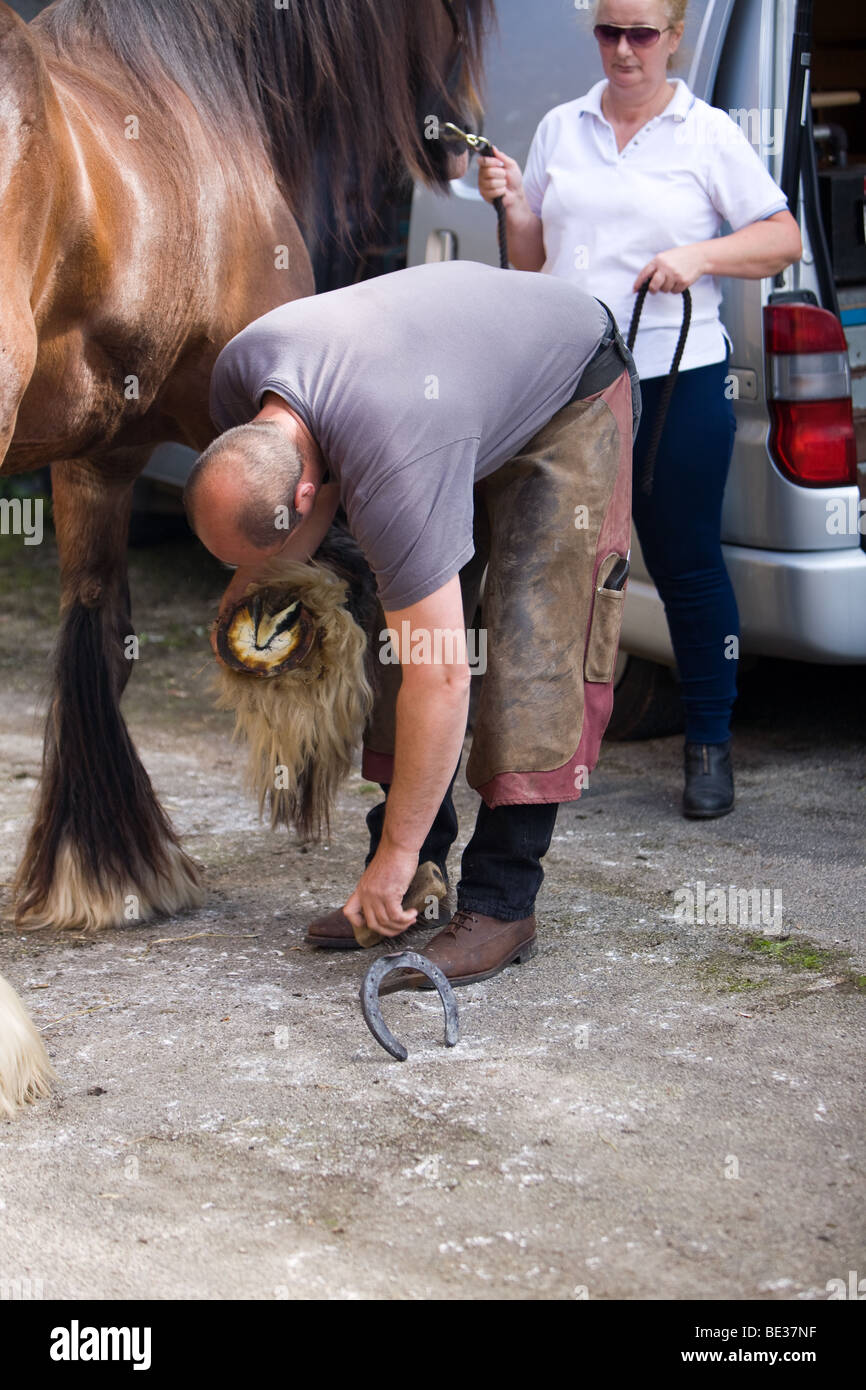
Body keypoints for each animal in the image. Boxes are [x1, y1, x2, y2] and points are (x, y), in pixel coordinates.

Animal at [0, 0, 492, 1111]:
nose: (475, 141)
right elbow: (353, 601)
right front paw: (407, 853)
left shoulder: (102, 454)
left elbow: (98, 637)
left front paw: (106, 874)